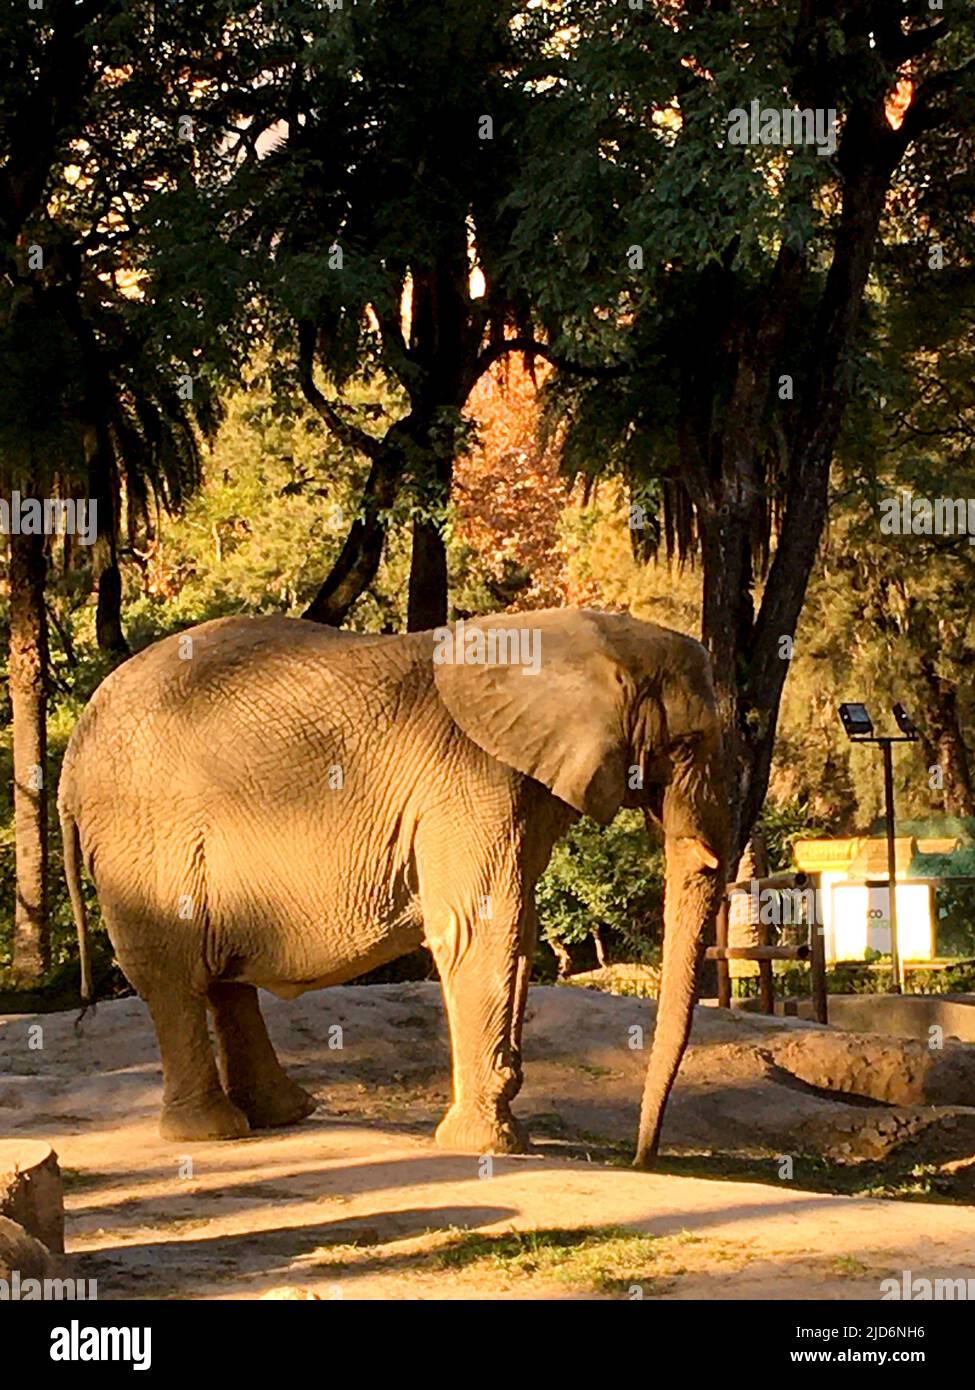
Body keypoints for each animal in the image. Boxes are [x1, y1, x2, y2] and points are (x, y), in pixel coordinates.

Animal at [58, 607, 726, 1163]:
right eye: (689, 744)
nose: (640, 1160)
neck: (580, 633)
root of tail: (69, 761)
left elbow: (517, 930)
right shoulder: (468, 781)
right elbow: (480, 931)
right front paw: (490, 1146)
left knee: (220, 974)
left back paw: (283, 1115)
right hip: (145, 836)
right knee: (175, 974)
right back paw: (213, 1133)